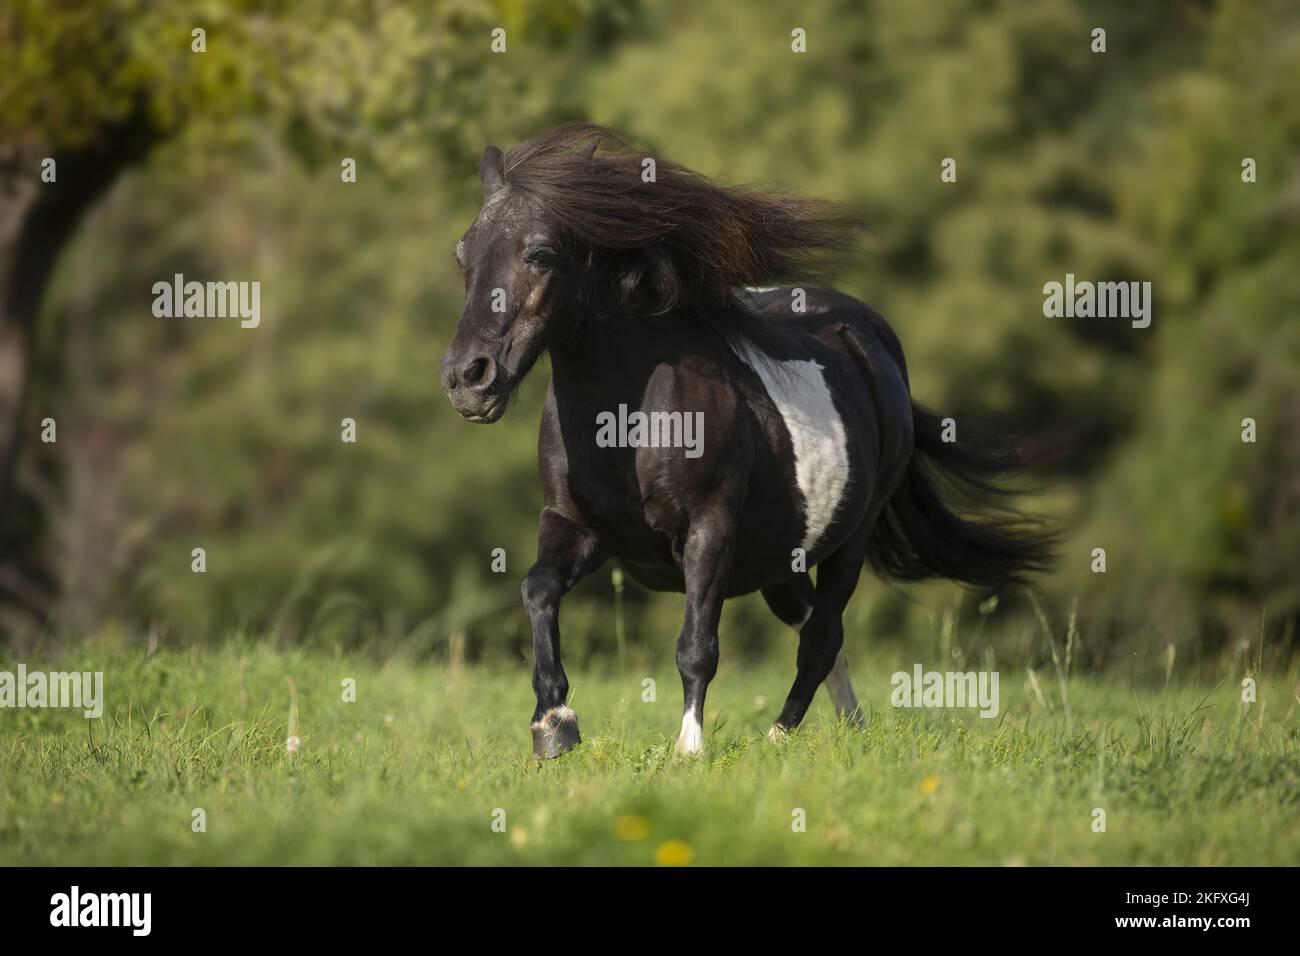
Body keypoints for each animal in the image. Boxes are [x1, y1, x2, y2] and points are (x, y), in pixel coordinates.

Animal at [440, 124, 1053, 758]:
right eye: (463, 253)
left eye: (539, 253)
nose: (467, 378)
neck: (626, 420)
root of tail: (875, 340)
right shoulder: (575, 525)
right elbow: (537, 589)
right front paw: (553, 724)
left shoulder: (711, 528)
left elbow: (696, 645)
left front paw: (688, 750)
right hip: (782, 560)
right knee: (817, 630)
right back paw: (849, 728)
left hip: (851, 538)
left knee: (821, 637)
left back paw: (780, 737)